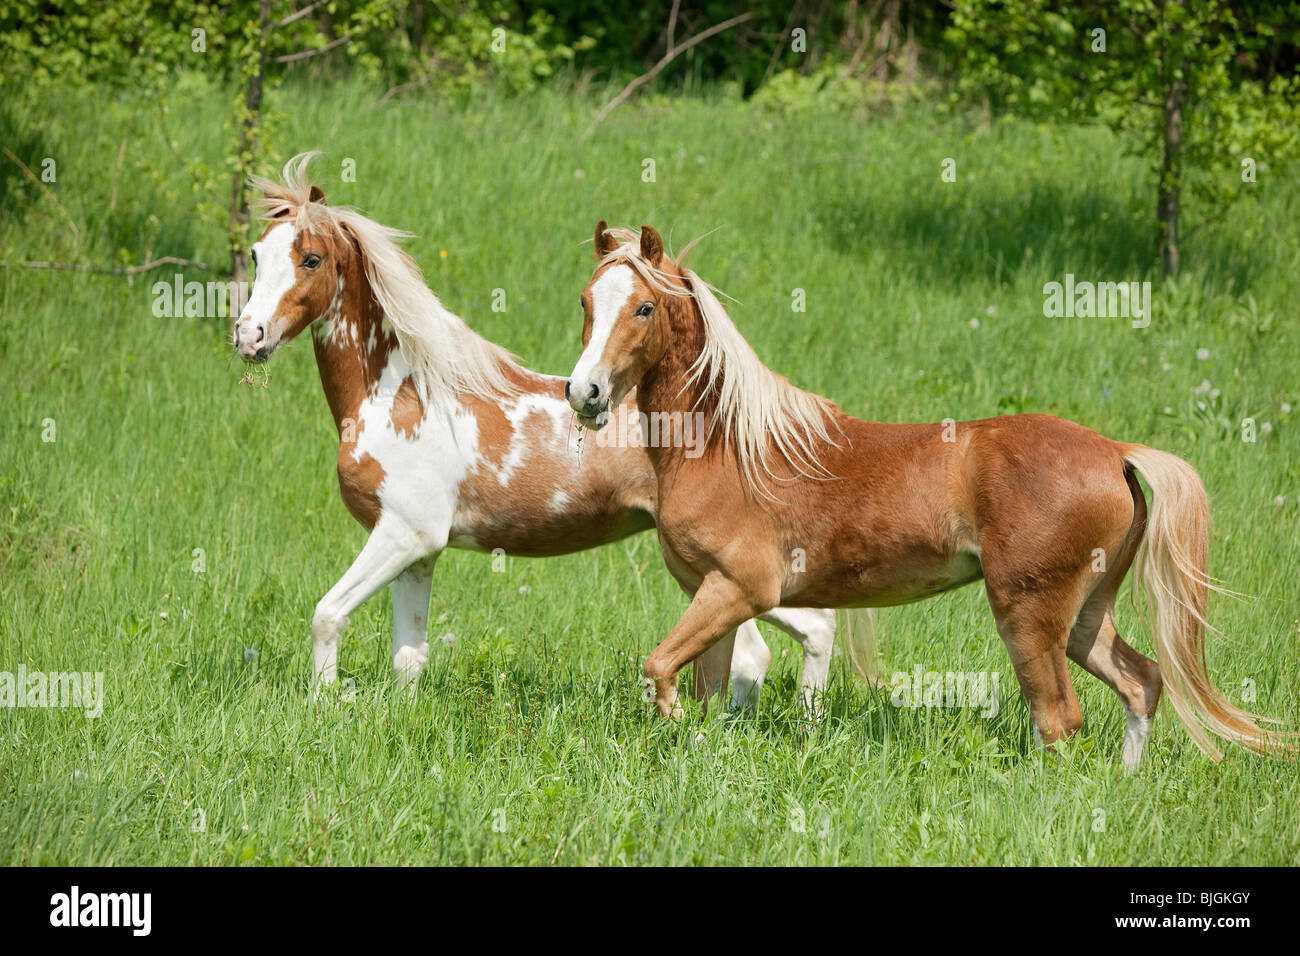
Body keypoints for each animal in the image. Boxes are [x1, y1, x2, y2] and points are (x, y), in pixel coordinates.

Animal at [229, 154, 871, 712]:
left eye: (311, 259)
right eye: (258, 255)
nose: (249, 335)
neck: (403, 395)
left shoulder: (402, 535)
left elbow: (326, 615)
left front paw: (323, 707)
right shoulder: (419, 554)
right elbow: (409, 658)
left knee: (795, 635)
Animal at [563, 221, 1295, 770]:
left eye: (644, 306)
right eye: (586, 302)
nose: (584, 394)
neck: (728, 446)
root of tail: (1116, 453)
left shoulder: (739, 591)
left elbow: (659, 671)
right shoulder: (709, 595)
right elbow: (706, 694)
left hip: (1028, 614)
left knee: (1059, 720)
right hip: (1087, 616)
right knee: (1141, 683)